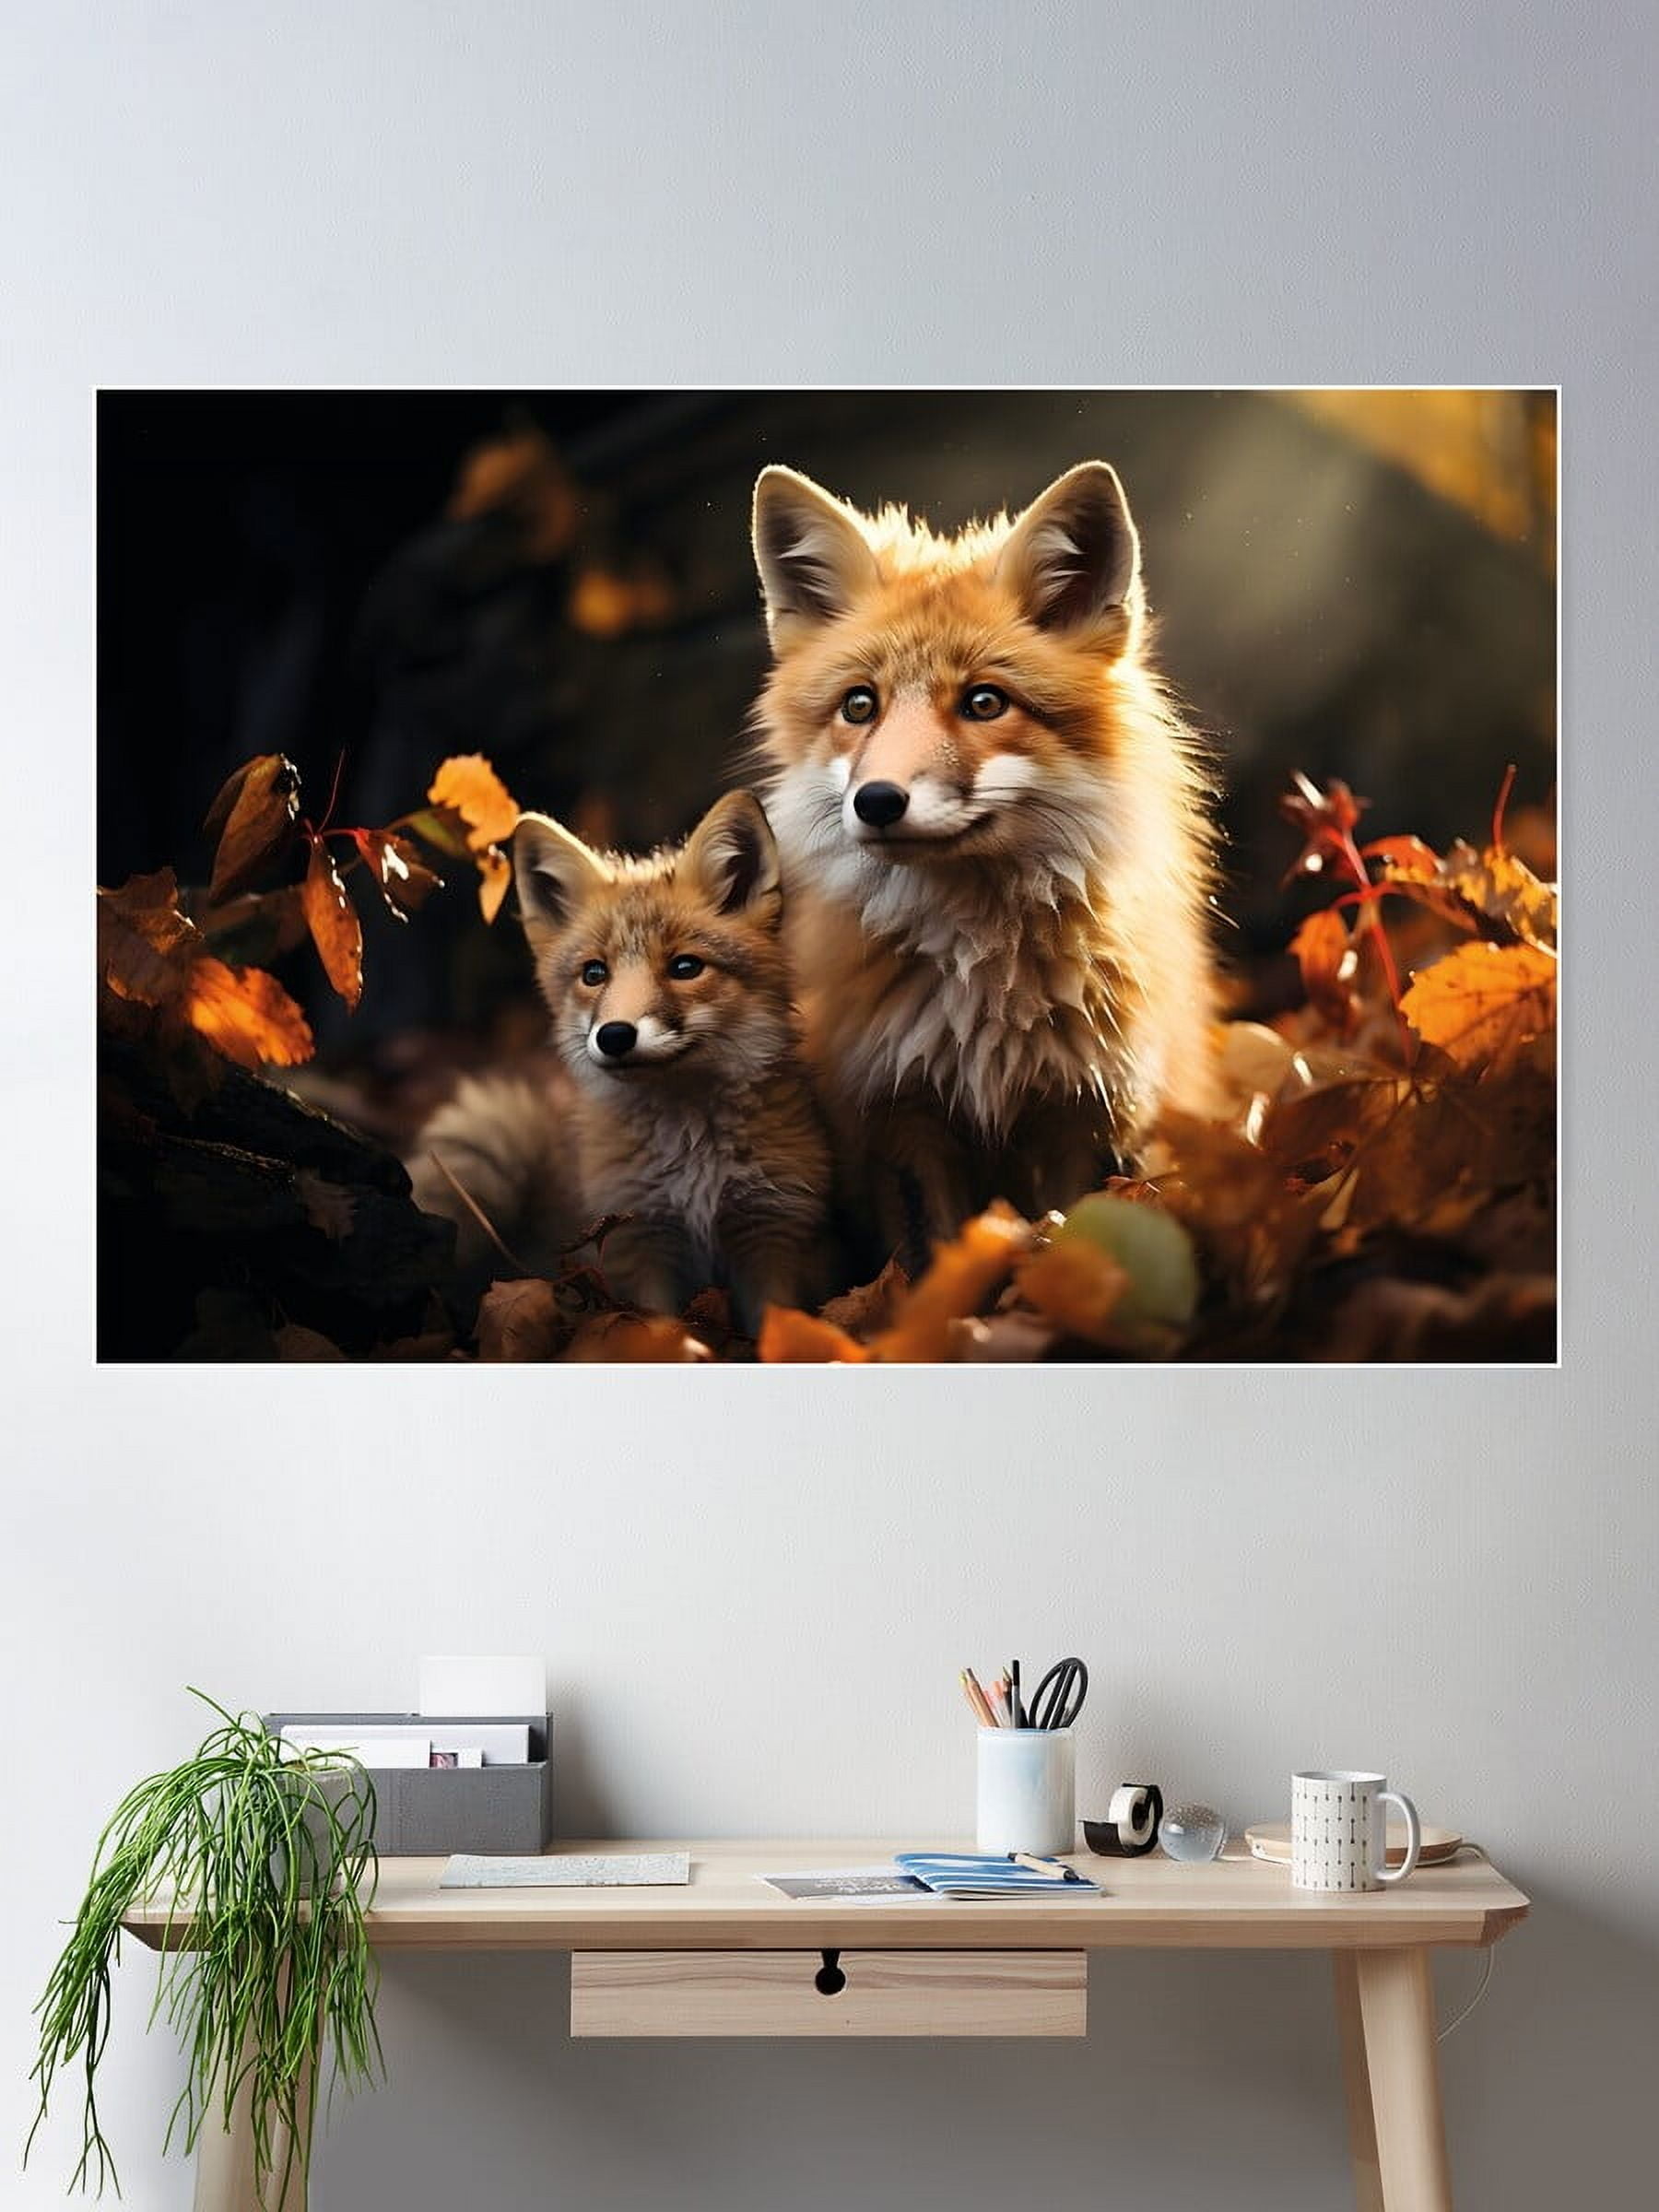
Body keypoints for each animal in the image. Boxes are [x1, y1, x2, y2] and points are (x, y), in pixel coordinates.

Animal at [410, 790, 831, 1335]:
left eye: (685, 967)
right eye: (594, 974)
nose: (613, 1036)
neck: (692, 1159)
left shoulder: (773, 1231)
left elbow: (776, 1331)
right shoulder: (639, 1239)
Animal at [749, 459, 1220, 1265]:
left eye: (984, 702)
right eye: (860, 706)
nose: (877, 801)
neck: (982, 985)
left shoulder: (1090, 1114)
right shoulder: (898, 1118)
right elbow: (928, 1264)